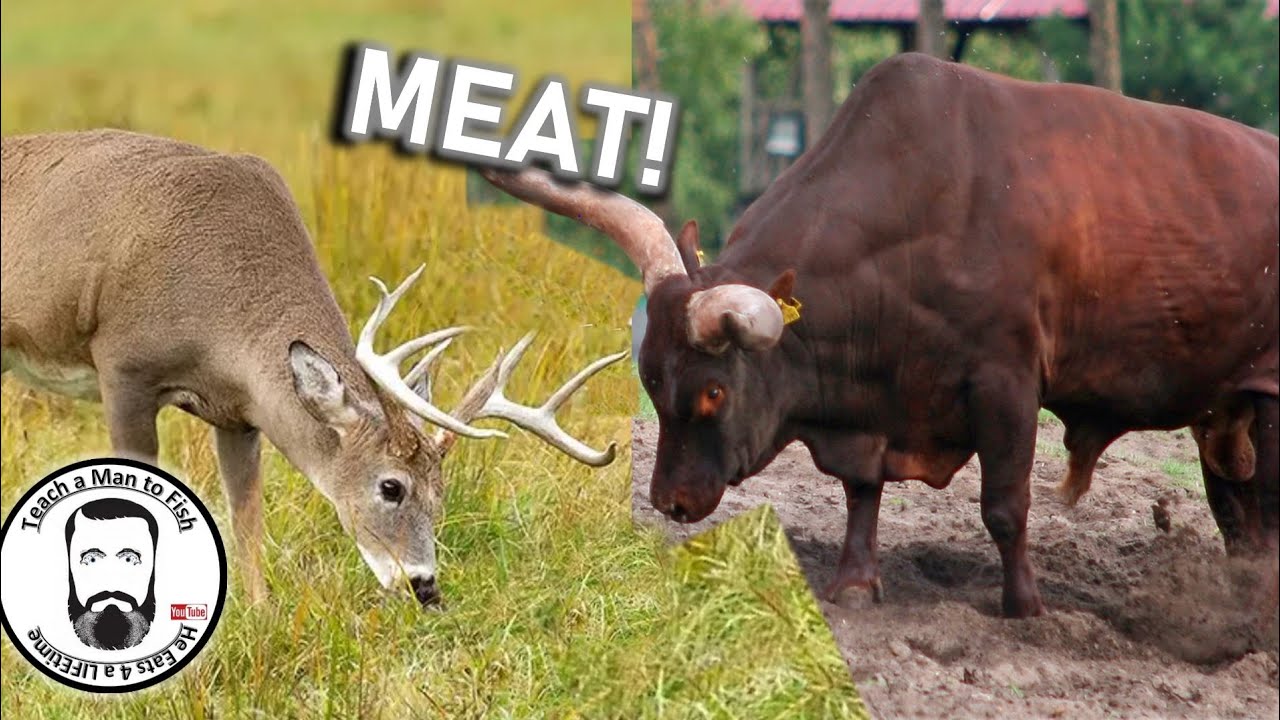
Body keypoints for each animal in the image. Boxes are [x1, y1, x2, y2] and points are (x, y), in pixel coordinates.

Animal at [1, 129, 626, 606]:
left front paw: (259, 614)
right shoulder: (123, 367)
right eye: (391, 486)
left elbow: (247, 517)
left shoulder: (237, 413)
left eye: (441, 492)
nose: (424, 586)